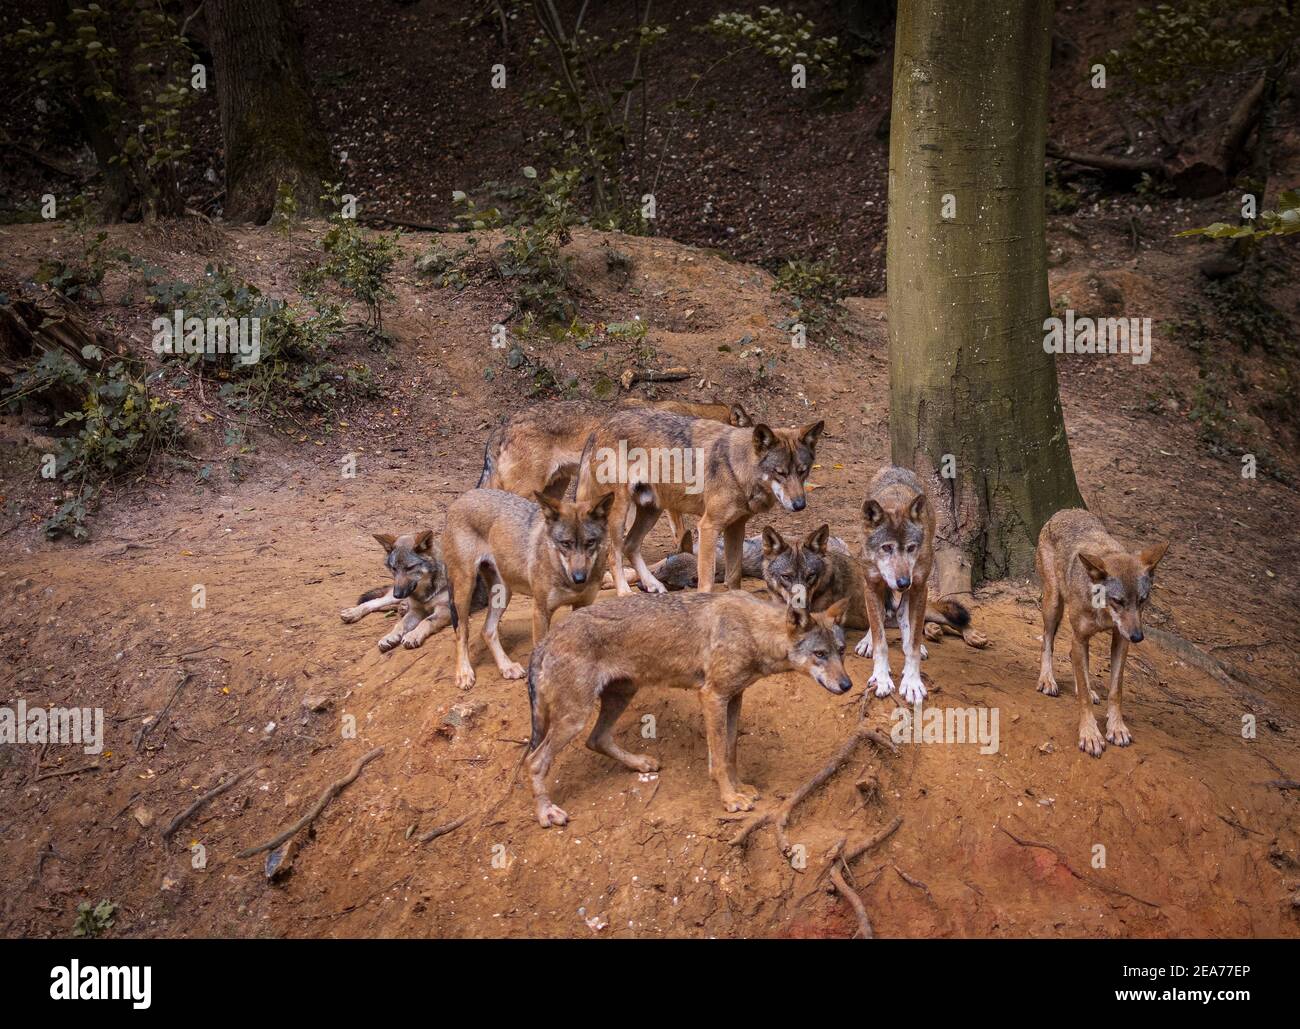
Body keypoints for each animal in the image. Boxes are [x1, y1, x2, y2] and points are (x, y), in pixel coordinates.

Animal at [524, 591, 851, 826]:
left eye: (841, 651)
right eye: (820, 654)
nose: (847, 685)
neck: (752, 631)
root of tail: (545, 640)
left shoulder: (735, 697)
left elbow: (730, 750)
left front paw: (740, 788)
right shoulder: (712, 697)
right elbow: (719, 758)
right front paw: (730, 799)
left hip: (621, 695)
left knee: (597, 739)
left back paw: (640, 764)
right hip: (575, 717)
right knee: (535, 761)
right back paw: (546, 813)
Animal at [1035, 508, 1169, 757]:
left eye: (1142, 600)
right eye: (1118, 601)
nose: (1138, 637)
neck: (1103, 610)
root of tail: (1064, 511)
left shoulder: (1121, 640)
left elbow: (1116, 690)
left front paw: (1117, 728)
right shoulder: (1080, 638)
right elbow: (1084, 697)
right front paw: (1090, 735)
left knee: (1072, 658)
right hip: (1053, 605)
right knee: (1047, 642)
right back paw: (1047, 680)